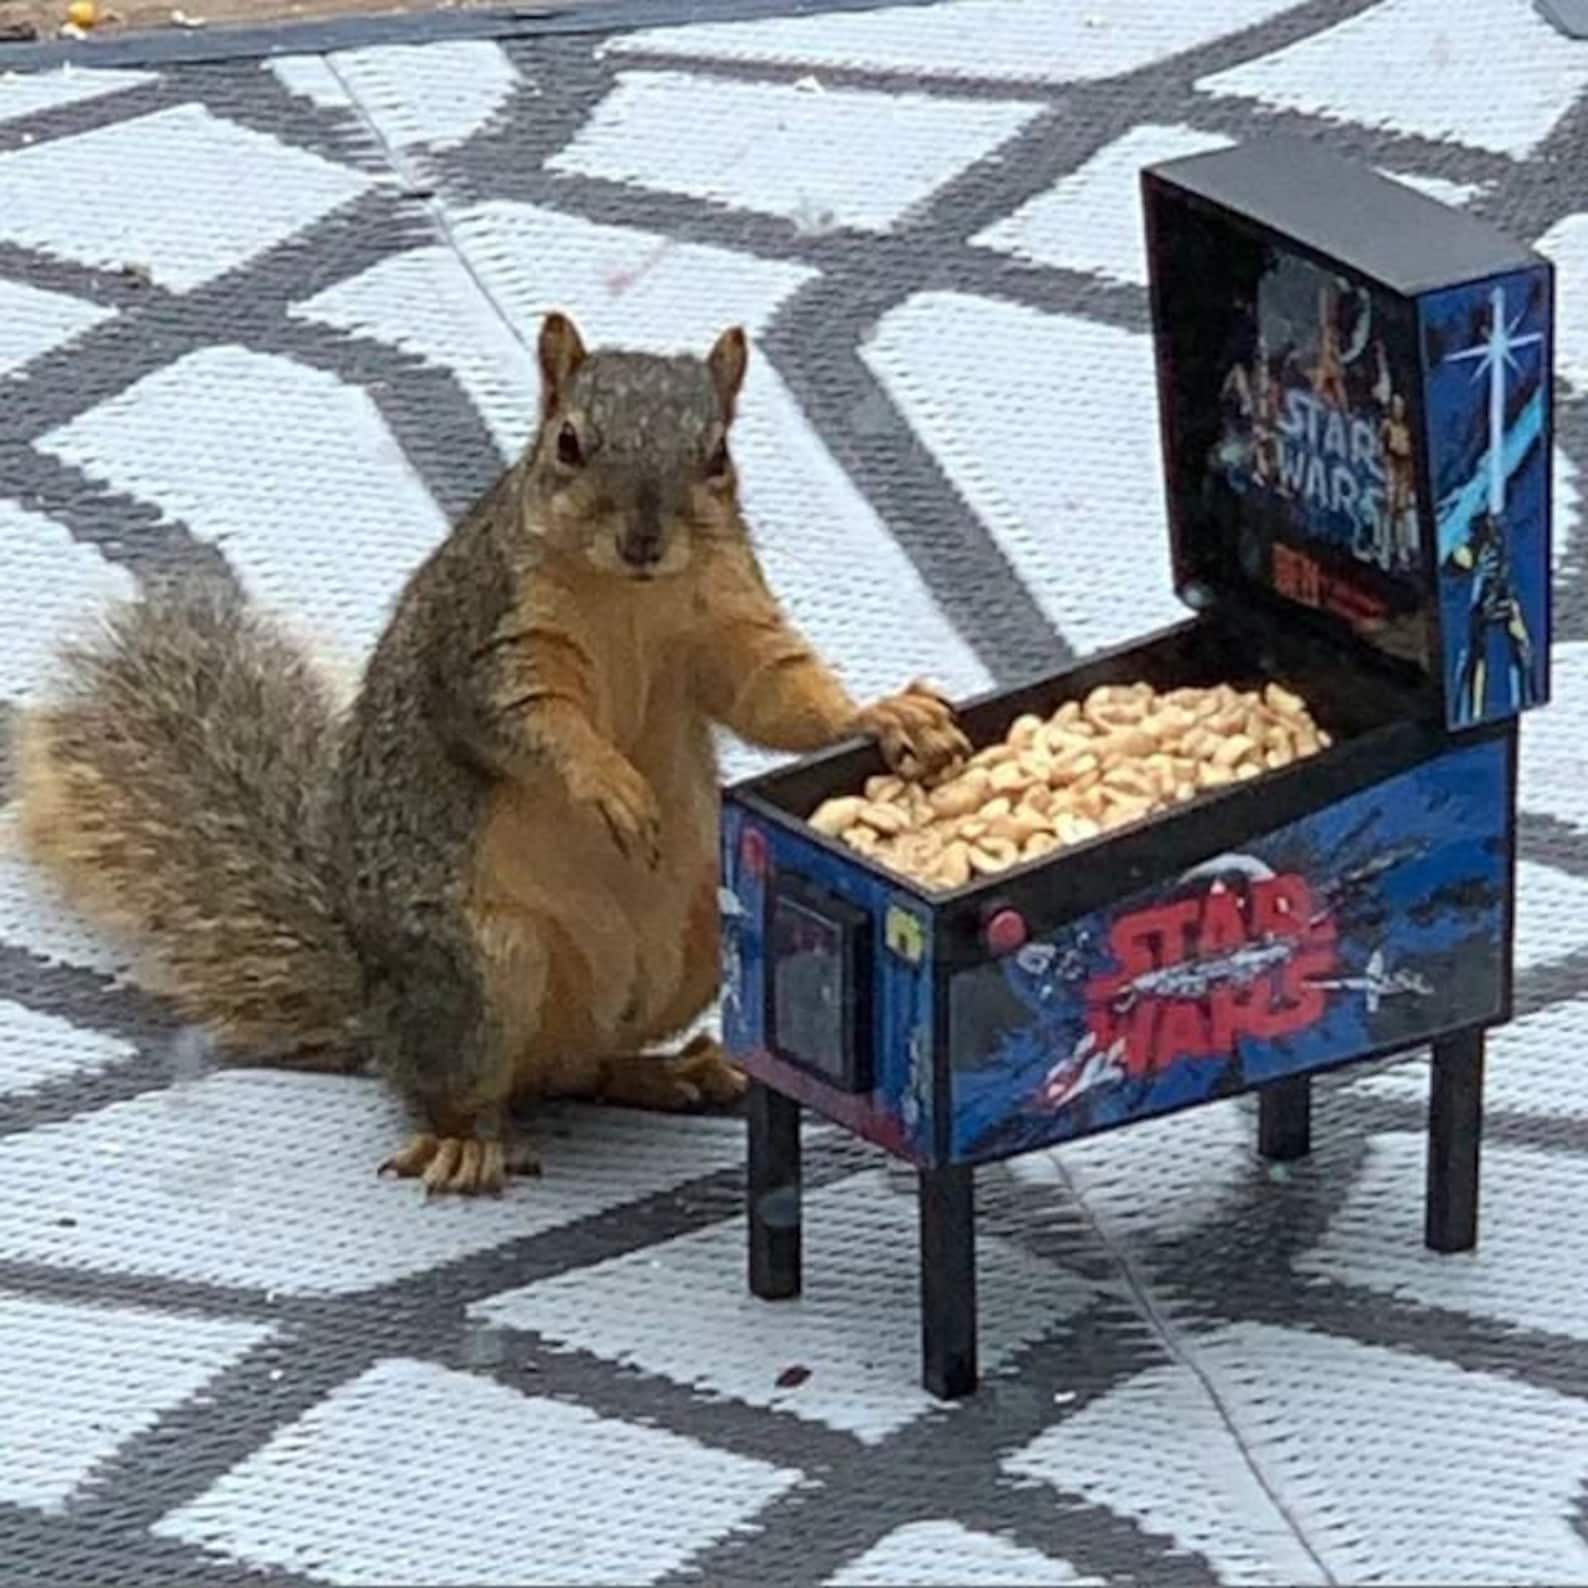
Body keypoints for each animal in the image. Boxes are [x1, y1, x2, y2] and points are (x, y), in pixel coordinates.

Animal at [11, 312, 969, 1196]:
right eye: (569, 443)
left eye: (717, 455)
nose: (645, 539)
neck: (632, 598)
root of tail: (377, 1008)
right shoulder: (491, 640)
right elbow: (533, 725)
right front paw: (609, 785)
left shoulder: (728, 615)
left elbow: (775, 693)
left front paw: (889, 716)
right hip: (485, 966)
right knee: (459, 1087)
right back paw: (465, 1141)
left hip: (707, 932)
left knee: (581, 1068)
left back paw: (672, 1069)